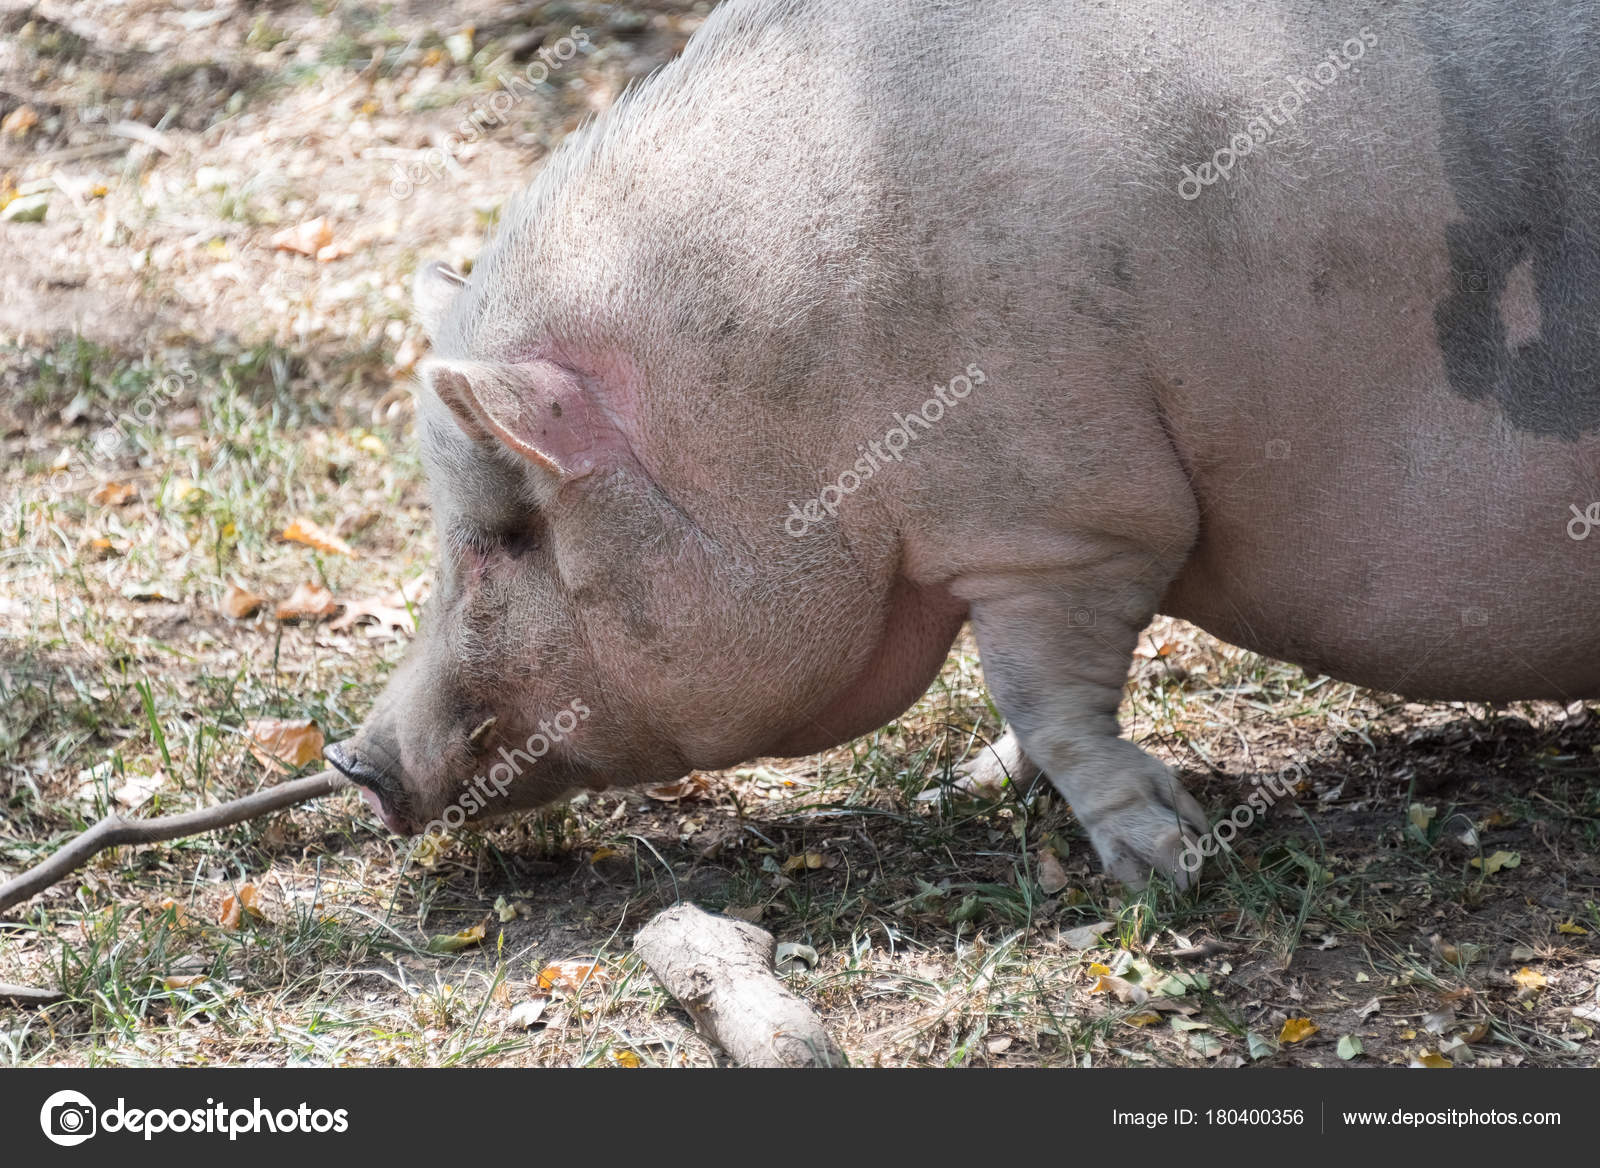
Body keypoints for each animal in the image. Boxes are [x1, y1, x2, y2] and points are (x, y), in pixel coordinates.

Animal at [325, 0, 1600, 887]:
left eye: (503, 534)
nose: (354, 762)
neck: (799, 394)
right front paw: (964, 787)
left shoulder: (1059, 520)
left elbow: (1043, 690)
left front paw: (1168, 862)